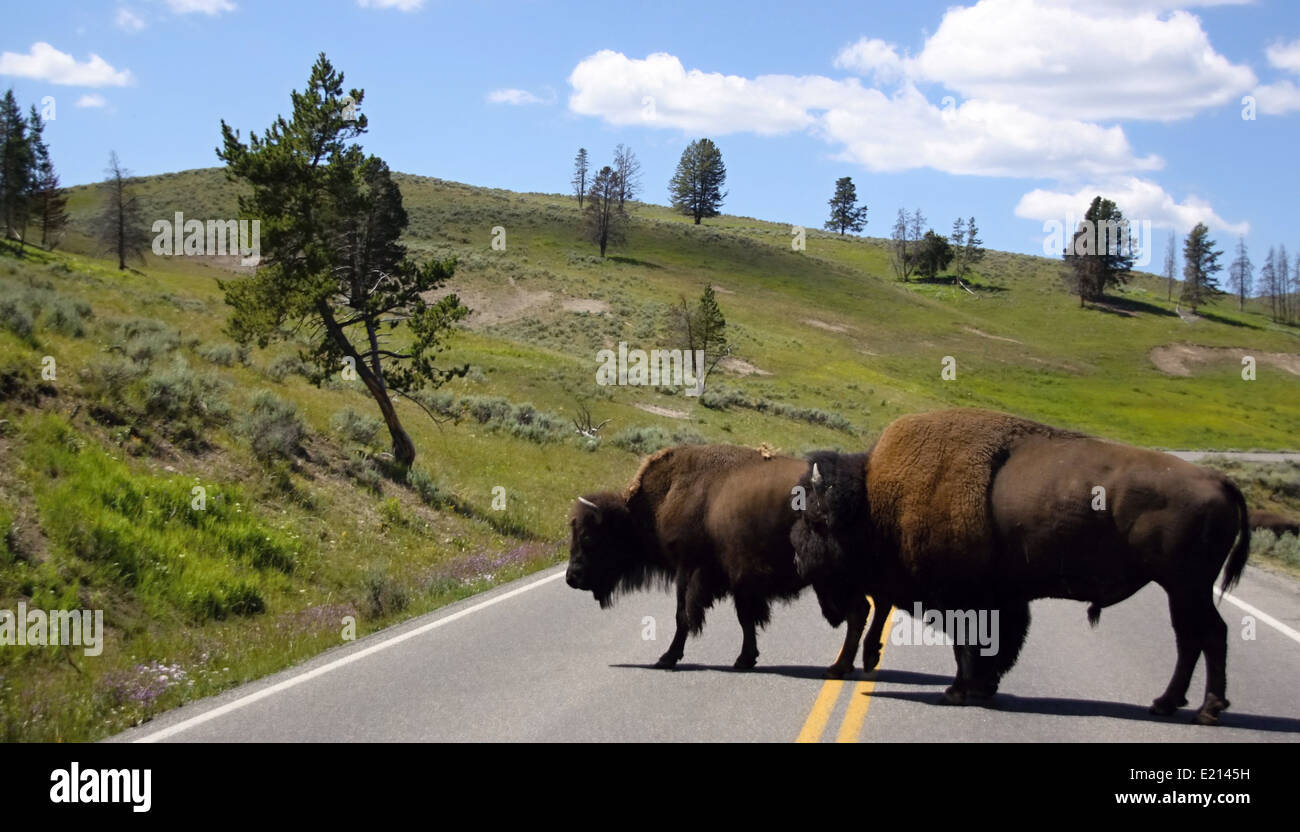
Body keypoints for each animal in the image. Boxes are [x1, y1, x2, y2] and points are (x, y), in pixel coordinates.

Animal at [566, 443, 883, 674]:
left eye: (588, 538)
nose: (571, 577)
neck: (667, 494)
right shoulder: (739, 582)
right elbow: (745, 619)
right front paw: (745, 659)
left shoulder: (690, 570)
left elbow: (684, 615)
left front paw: (667, 657)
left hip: (837, 577)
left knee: (859, 611)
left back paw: (840, 667)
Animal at [791, 408, 1250, 725]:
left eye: (817, 520)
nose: (795, 552)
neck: (874, 500)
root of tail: (1220, 481)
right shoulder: (1000, 599)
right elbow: (994, 643)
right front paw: (982, 688)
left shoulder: (964, 599)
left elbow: (969, 644)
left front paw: (958, 691)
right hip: (1183, 590)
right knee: (1193, 639)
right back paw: (1168, 704)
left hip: (1185, 587)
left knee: (1208, 635)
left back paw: (1205, 710)